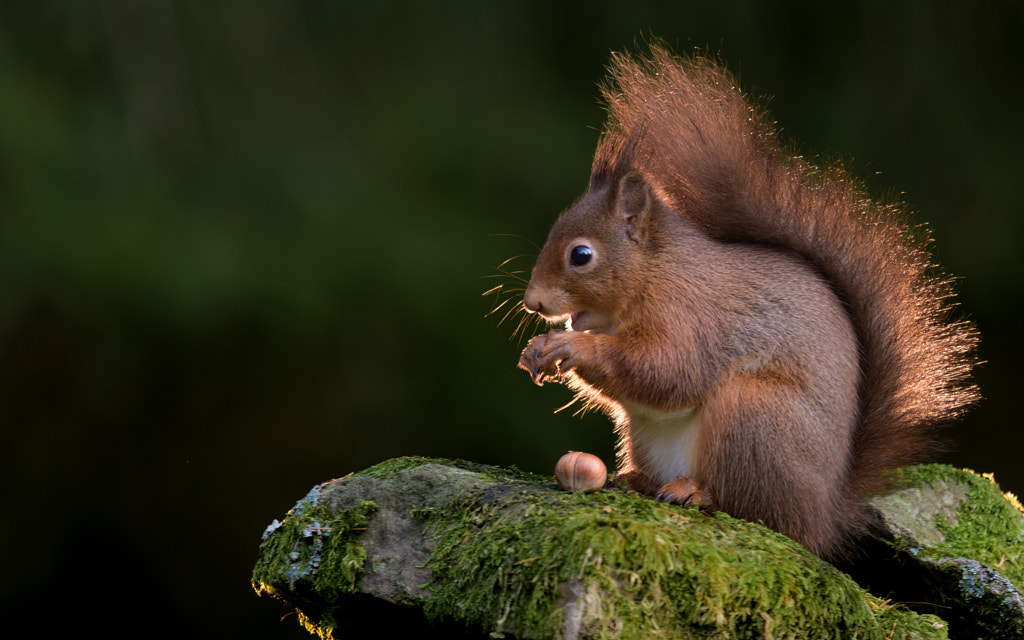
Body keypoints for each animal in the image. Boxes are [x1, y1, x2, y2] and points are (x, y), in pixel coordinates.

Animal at [515, 47, 979, 561]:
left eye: (581, 255)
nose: (533, 303)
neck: (654, 274)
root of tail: (824, 514)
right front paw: (537, 350)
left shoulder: (690, 314)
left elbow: (669, 370)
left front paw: (572, 348)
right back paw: (638, 479)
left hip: (754, 415)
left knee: (754, 508)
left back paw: (695, 491)